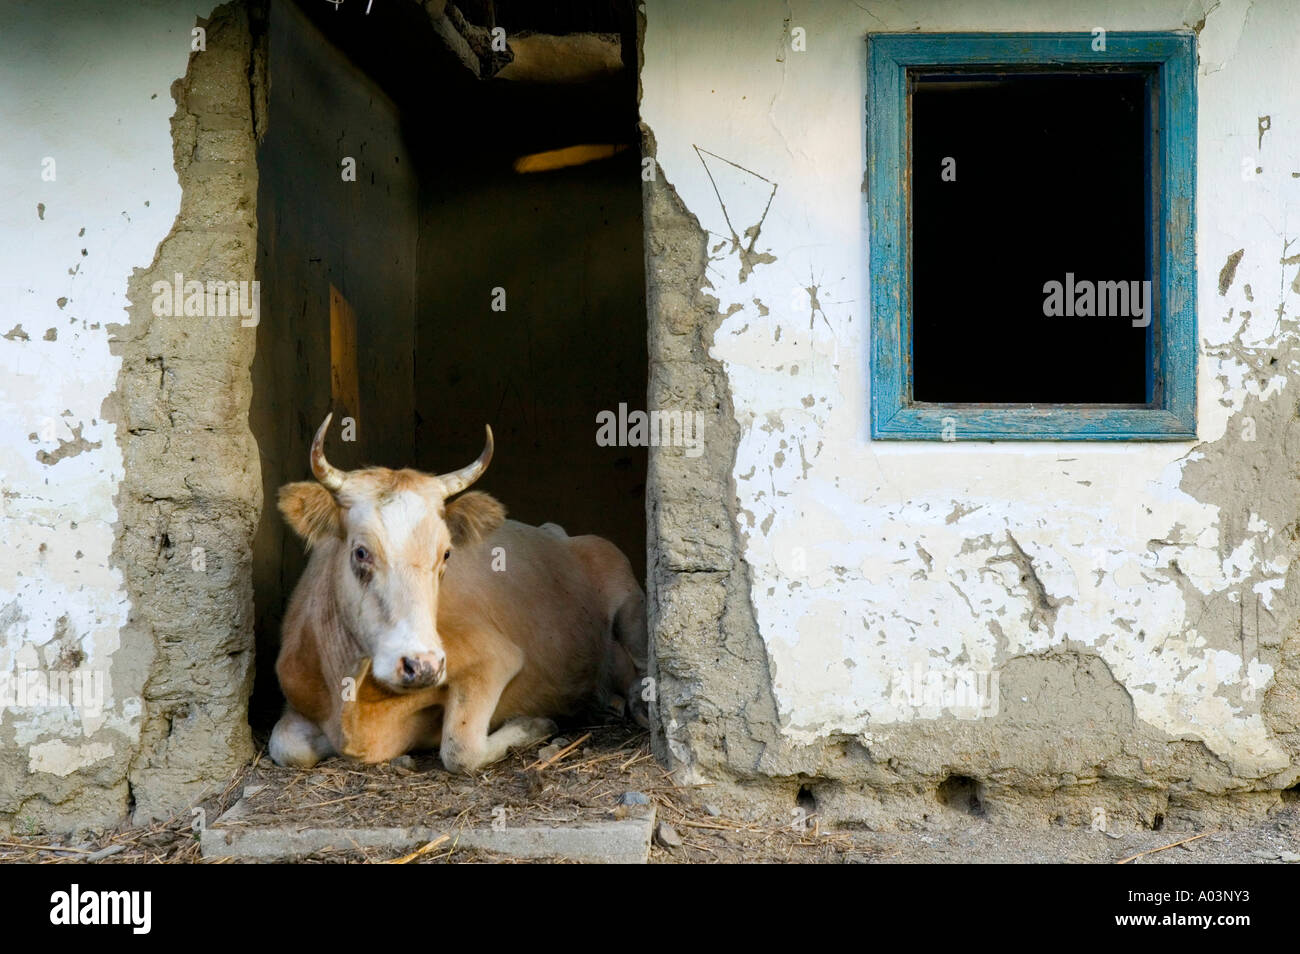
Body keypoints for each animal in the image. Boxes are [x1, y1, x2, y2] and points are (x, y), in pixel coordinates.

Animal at [268, 414, 649, 772]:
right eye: (361, 552)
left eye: (447, 554)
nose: (422, 666)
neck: (357, 711)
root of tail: (561, 534)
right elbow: (285, 746)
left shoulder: (496, 656)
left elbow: (460, 748)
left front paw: (534, 725)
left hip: (629, 600)